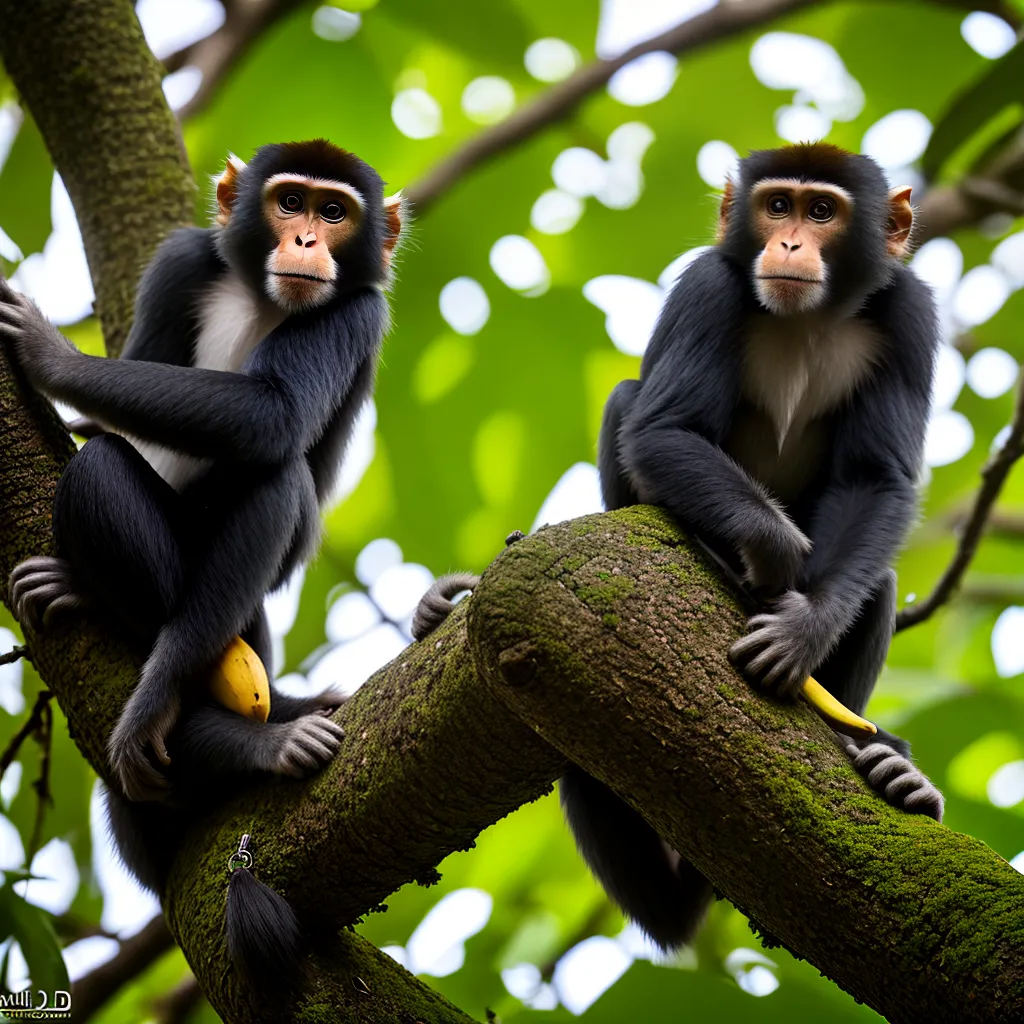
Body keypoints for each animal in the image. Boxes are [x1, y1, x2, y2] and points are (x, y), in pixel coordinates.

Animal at [0, 139, 405, 988]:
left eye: (335, 212)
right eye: (290, 202)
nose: (307, 241)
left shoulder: (358, 311)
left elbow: (274, 411)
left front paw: (51, 355)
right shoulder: (180, 263)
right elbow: (138, 377)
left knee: (267, 474)